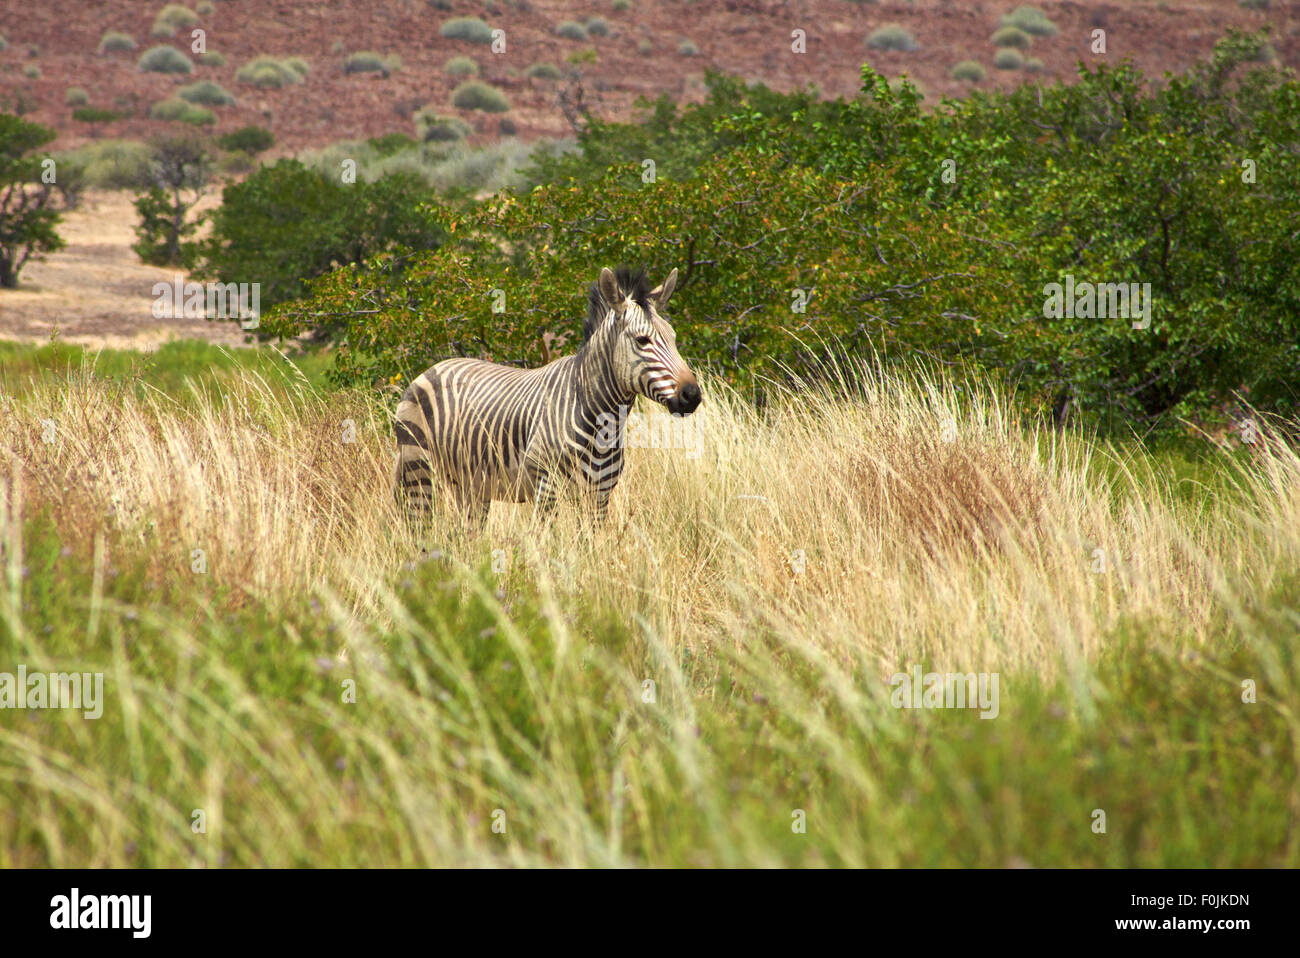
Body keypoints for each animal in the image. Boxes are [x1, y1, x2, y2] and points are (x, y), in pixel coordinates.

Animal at [393, 266, 702, 521]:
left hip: (469, 485)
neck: (601, 421)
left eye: (674, 338)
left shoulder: (599, 496)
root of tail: (433, 367)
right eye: (642, 340)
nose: (692, 395)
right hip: (417, 470)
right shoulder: (547, 487)